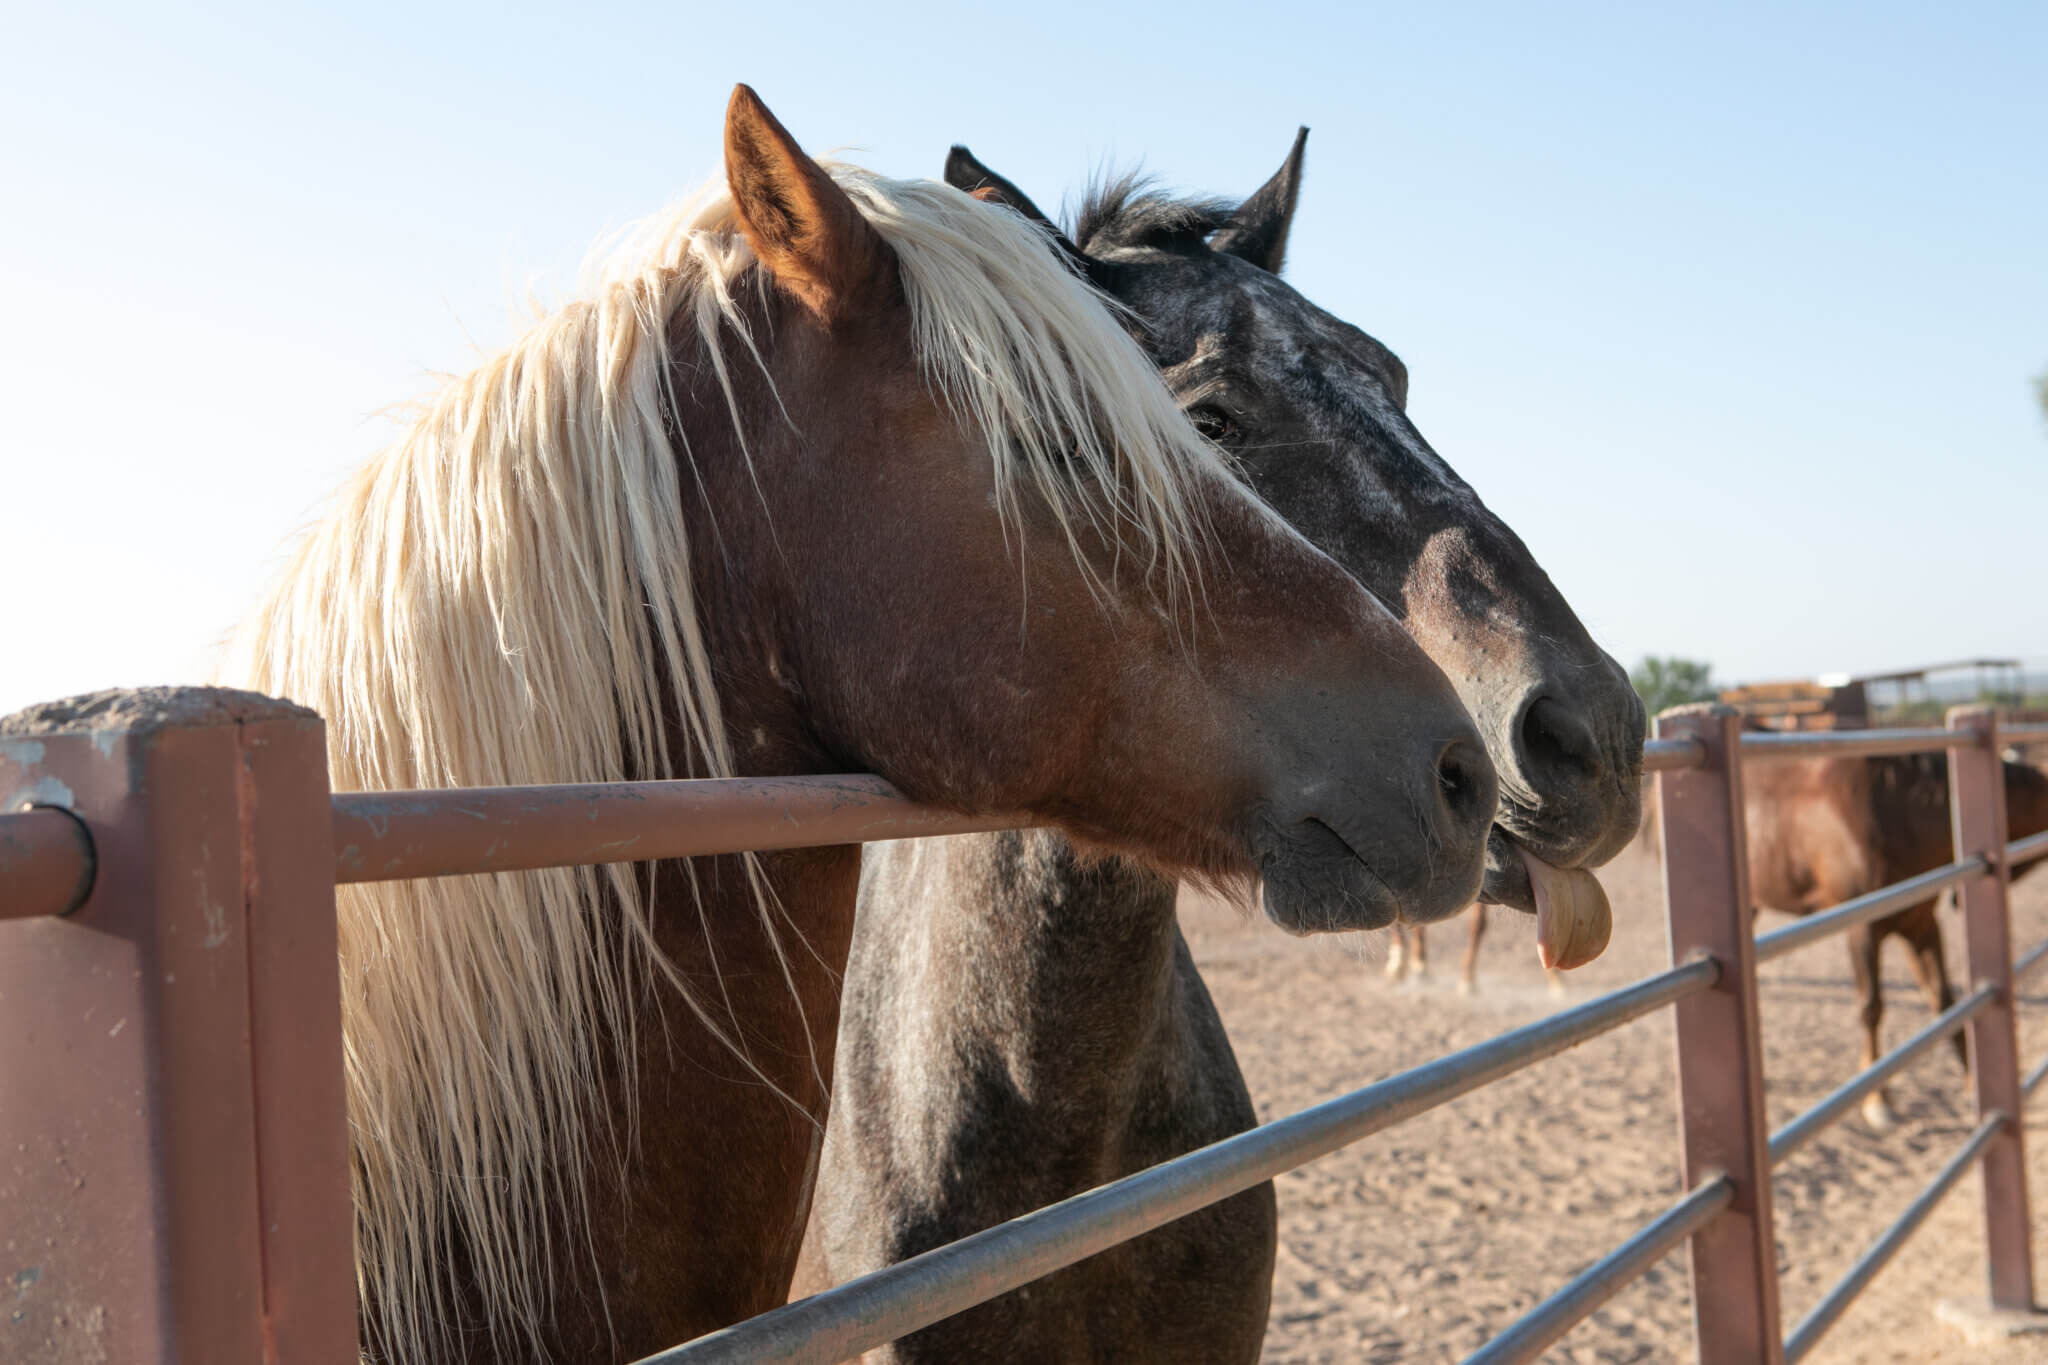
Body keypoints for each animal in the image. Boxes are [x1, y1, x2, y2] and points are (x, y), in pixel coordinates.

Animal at [1744, 750, 2048, 1127]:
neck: (1897, 813)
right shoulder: (1863, 930)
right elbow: (1872, 1007)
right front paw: (1877, 1100)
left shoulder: (1921, 925)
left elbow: (1944, 1000)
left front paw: (1973, 1084)